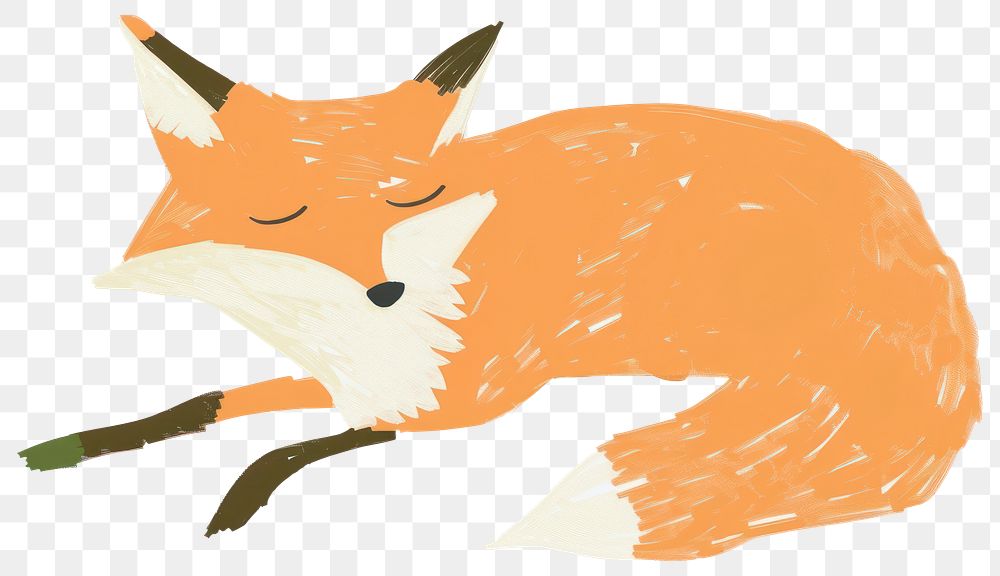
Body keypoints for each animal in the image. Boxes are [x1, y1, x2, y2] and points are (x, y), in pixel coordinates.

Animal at [18, 16, 980, 560]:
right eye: (282, 214)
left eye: (410, 197)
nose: (385, 291)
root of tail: (889, 194)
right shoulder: (360, 377)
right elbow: (202, 404)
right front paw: (71, 447)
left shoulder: (465, 392)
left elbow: (295, 447)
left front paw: (234, 503)